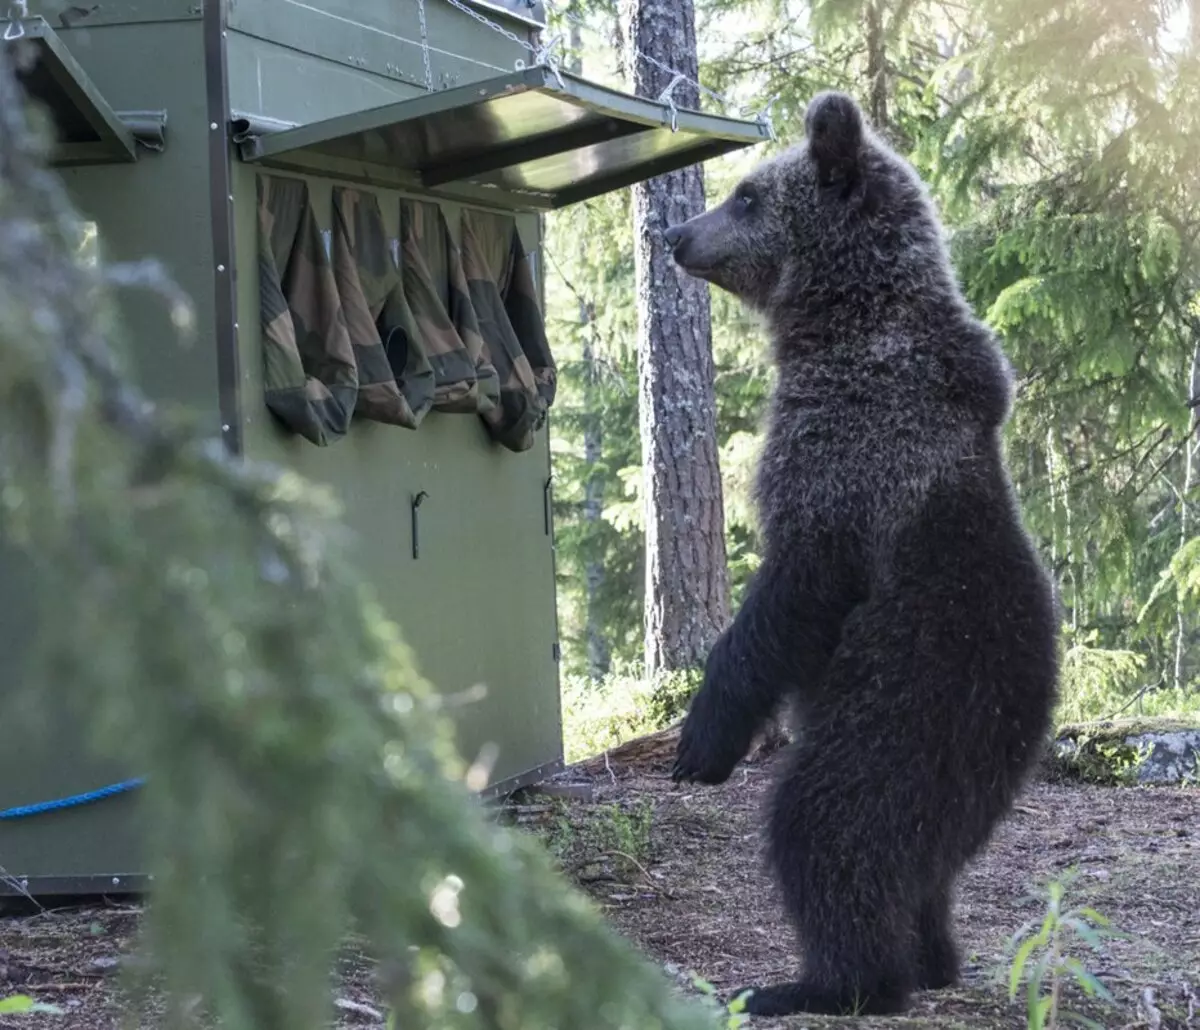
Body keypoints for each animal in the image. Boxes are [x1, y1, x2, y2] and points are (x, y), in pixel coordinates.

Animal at [667, 90, 1060, 1017]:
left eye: (745, 194)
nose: (675, 235)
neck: (847, 325)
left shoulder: (843, 466)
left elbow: (790, 595)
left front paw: (701, 742)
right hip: (972, 775)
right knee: (923, 867)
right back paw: (932, 957)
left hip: (901, 715)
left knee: (825, 822)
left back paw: (821, 981)